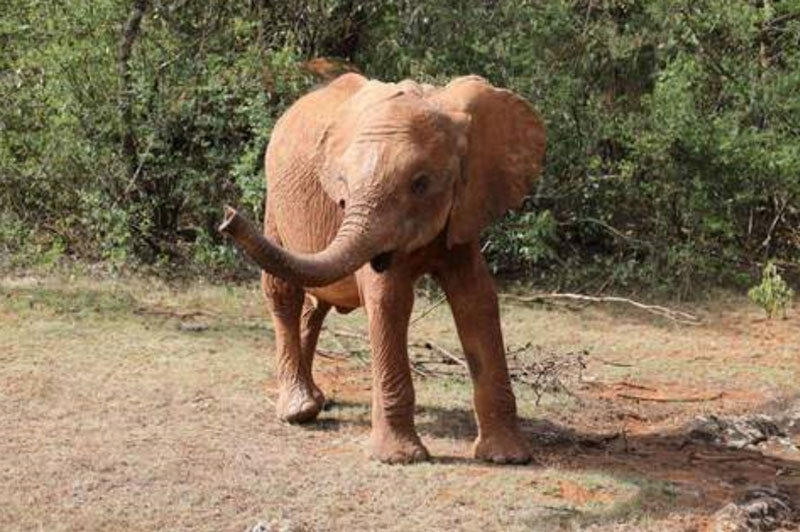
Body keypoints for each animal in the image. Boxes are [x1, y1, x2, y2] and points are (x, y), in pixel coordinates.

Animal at [220, 73, 546, 464]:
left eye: (421, 183)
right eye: (342, 185)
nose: (227, 217)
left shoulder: (465, 209)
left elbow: (476, 298)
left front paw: (508, 458)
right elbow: (390, 301)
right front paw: (399, 459)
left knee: (315, 305)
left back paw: (316, 400)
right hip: (275, 204)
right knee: (284, 291)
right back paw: (299, 411)